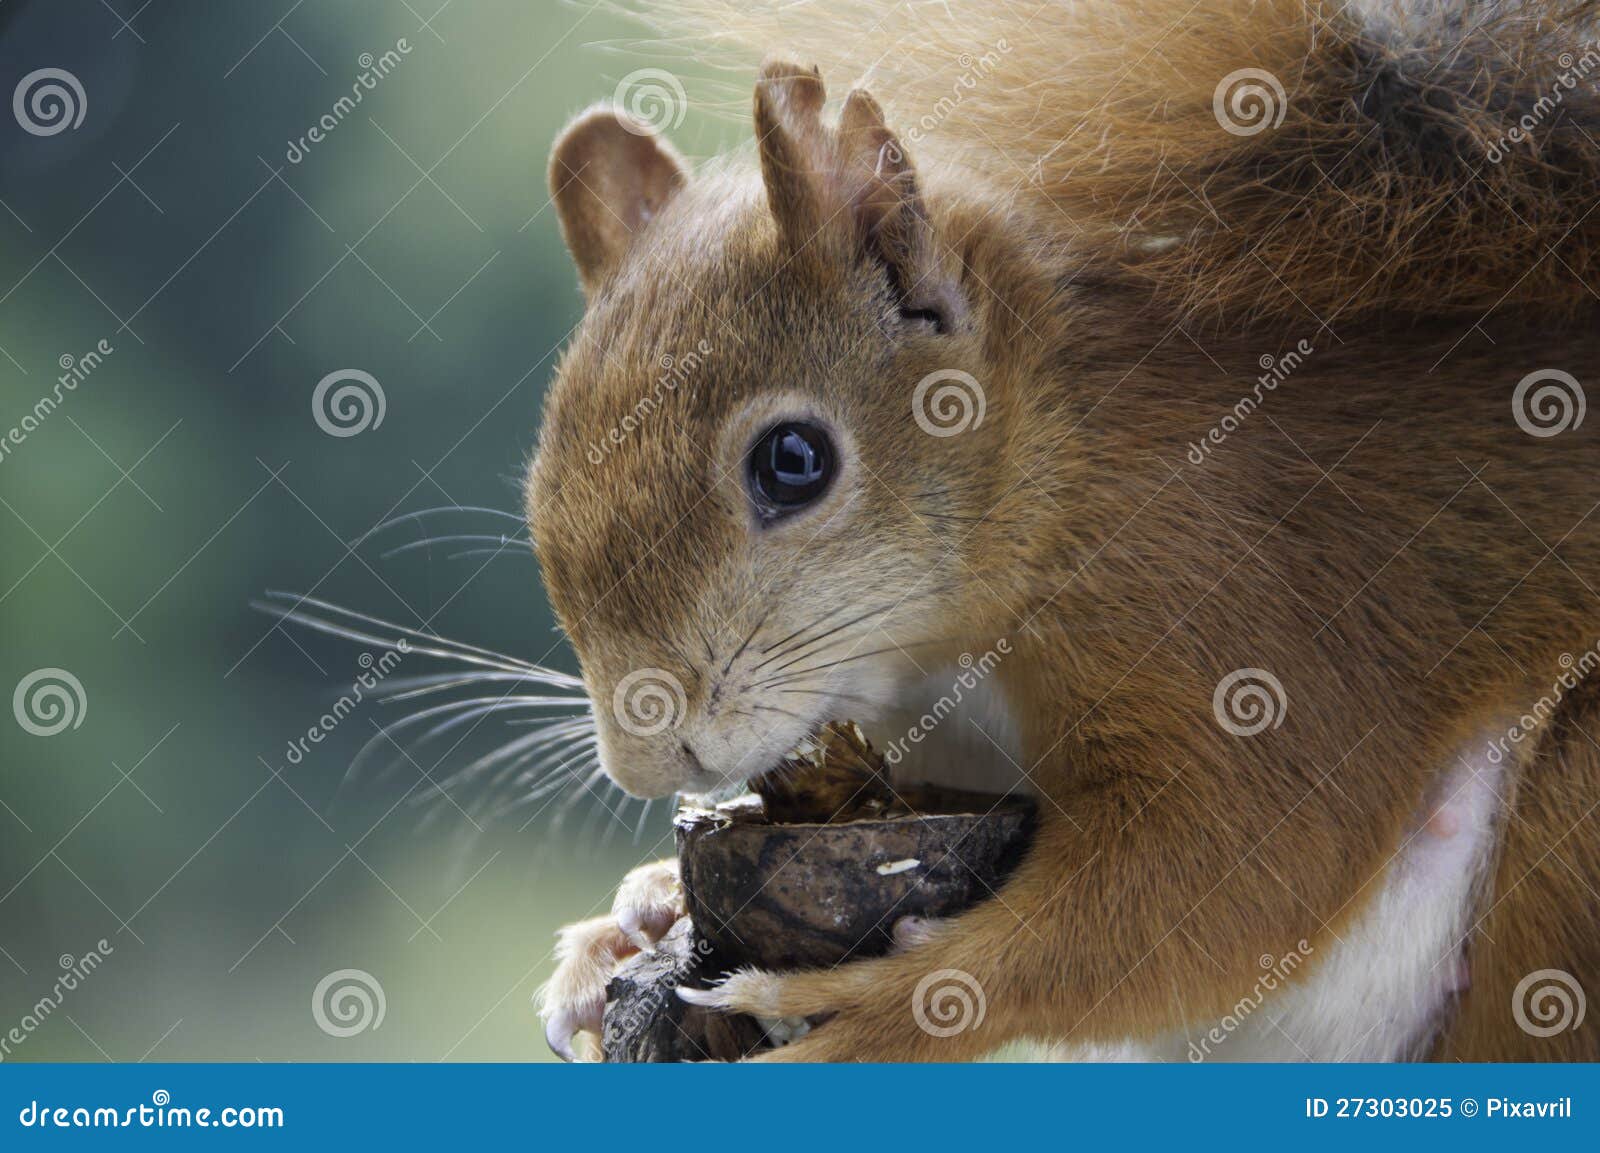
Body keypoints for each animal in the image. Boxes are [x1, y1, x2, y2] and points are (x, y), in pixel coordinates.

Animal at [529, 0, 1600, 1061]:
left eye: (794, 461)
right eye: (542, 479)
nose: (648, 761)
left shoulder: (1238, 597)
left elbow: (1244, 862)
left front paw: (882, 1004)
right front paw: (633, 920)